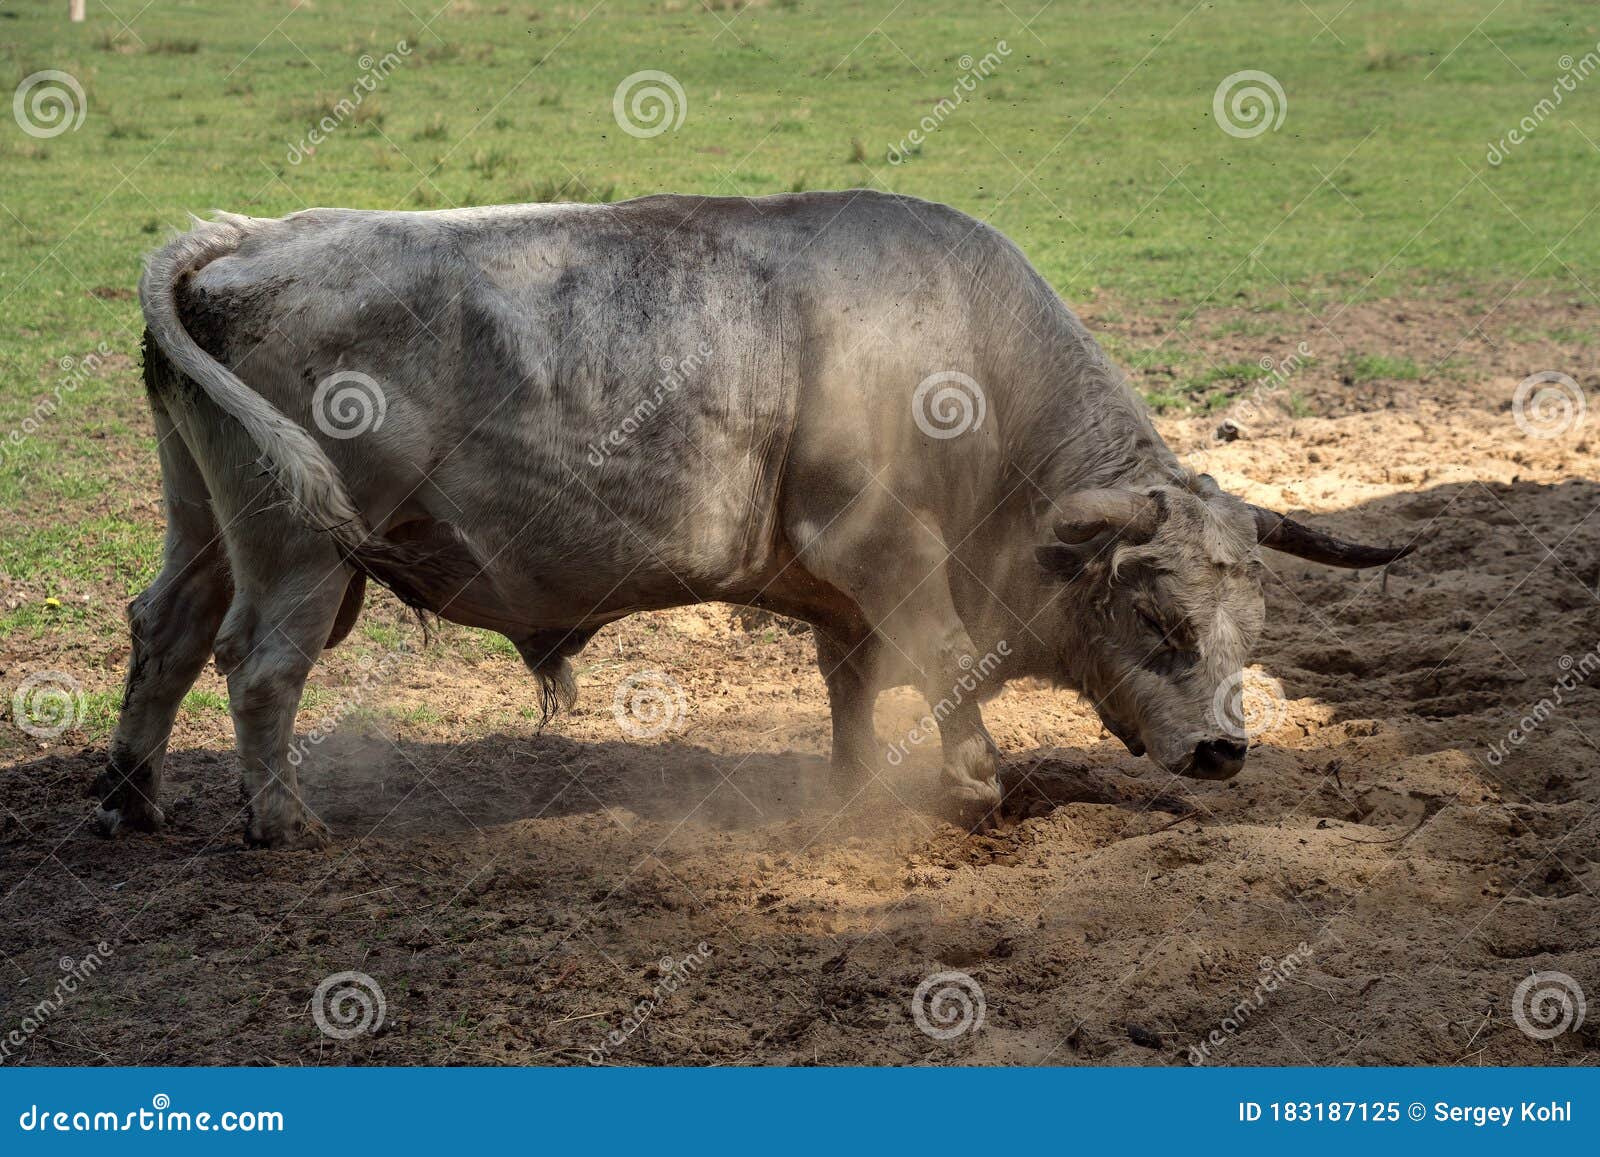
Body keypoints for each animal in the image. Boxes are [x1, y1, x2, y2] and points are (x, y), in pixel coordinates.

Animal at [100, 191, 1414, 847]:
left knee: (165, 630)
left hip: (206, 521)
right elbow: (942, 662)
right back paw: (281, 816)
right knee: (259, 667)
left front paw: (852, 786)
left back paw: (132, 795)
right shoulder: (886, 549)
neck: (972, 372)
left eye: (1254, 627)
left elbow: (854, 681)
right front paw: (972, 784)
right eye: (1155, 616)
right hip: (300, 550)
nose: (1224, 751)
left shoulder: (843, 587)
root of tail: (249, 238)